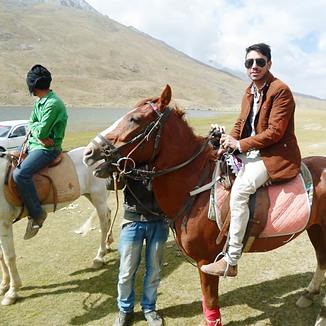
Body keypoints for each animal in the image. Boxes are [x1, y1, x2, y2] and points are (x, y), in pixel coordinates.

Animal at [0, 147, 112, 306]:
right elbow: (1, 256)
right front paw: (4, 285)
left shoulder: (4, 223)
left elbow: (9, 257)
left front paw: (12, 292)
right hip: (90, 195)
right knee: (108, 215)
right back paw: (108, 244)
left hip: (99, 197)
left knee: (103, 223)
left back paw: (99, 257)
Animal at [83, 85, 326, 324]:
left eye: (134, 119)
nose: (89, 152)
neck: (194, 186)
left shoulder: (205, 261)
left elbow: (209, 301)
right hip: (315, 229)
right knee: (321, 260)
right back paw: (309, 294)